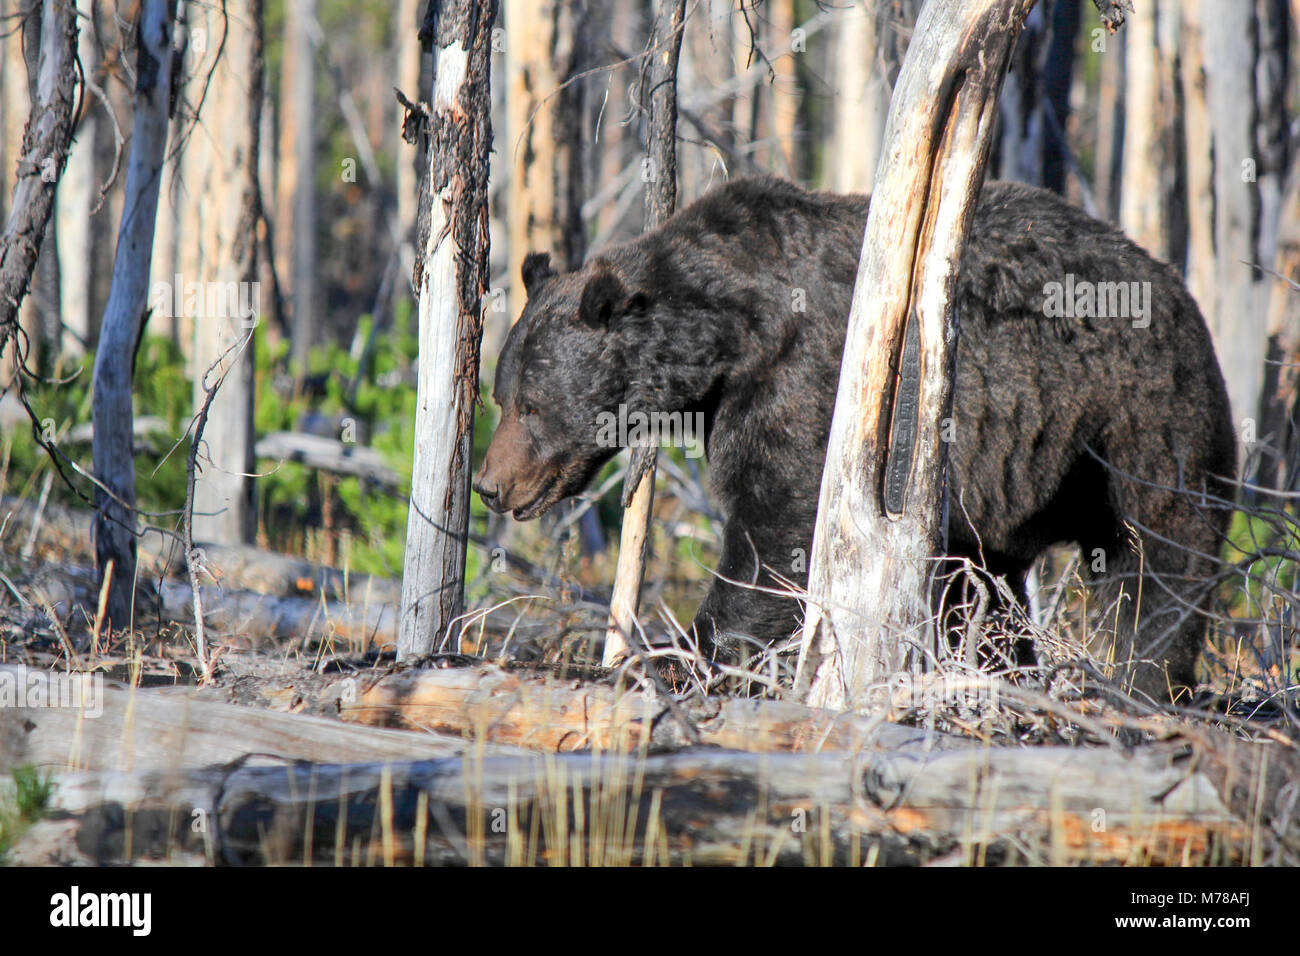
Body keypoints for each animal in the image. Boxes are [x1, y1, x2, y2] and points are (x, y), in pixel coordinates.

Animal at [473, 175, 1237, 702]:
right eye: (501, 396)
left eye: (532, 404)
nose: (489, 484)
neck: (729, 337)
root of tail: (1183, 293)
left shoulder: (809, 384)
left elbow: (778, 531)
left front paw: (678, 653)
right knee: (987, 585)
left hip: (1137, 416)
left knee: (1162, 555)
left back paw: (1144, 680)